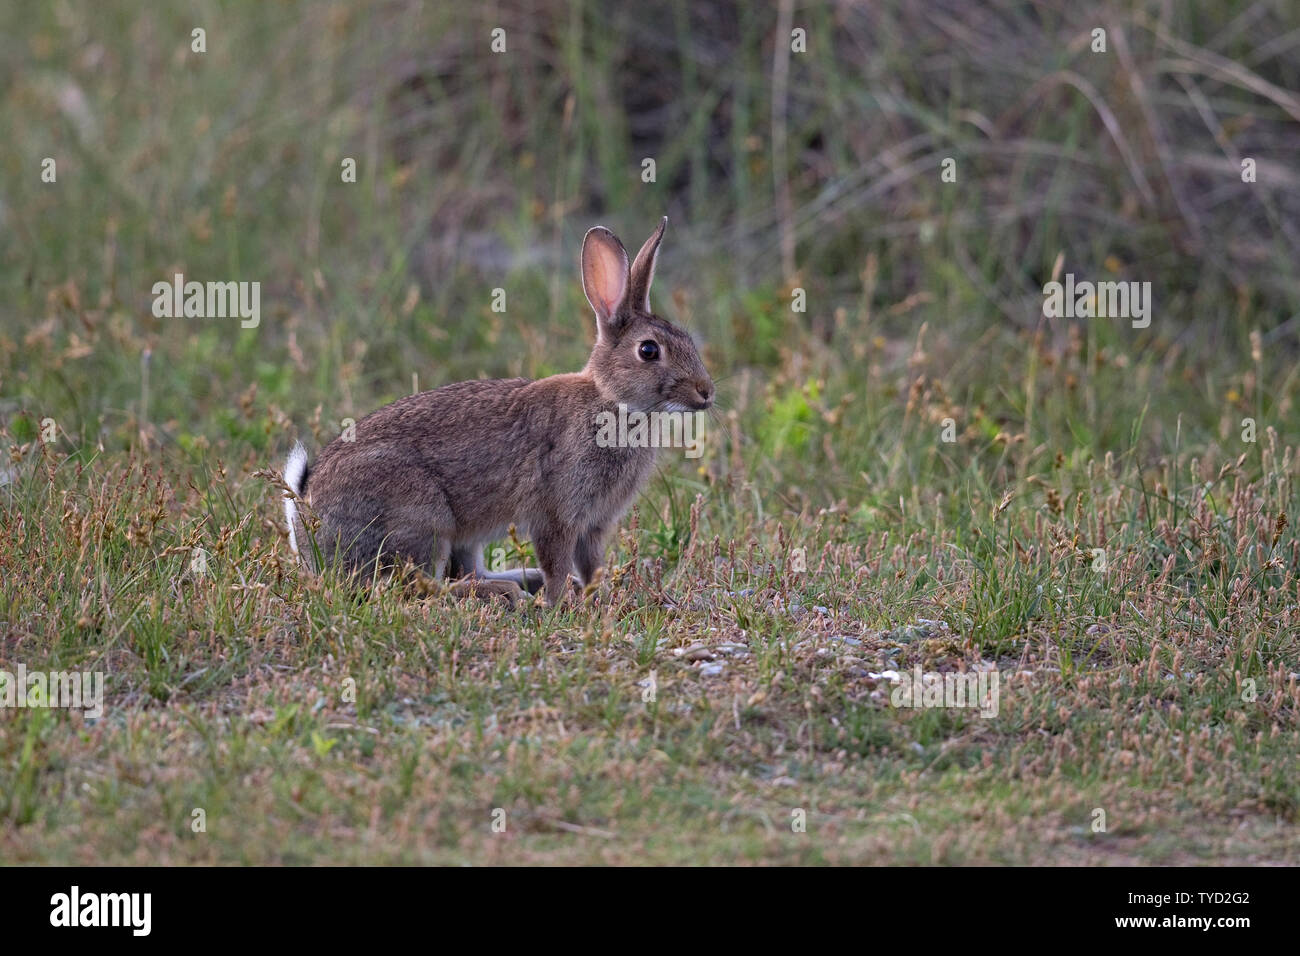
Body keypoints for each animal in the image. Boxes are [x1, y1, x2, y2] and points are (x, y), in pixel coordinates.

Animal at [282, 217, 714, 606]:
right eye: (648, 350)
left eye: (688, 340)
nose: (706, 392)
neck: (611, 401)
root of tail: (305, 515)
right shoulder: (556, 514)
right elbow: (558, 560)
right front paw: (562, 603)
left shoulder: (594, 524)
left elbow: (591, 565)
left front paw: (599, 596)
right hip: (422, 518)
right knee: (419, 586)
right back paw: (506, 592)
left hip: (459, 535)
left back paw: (521, 581)